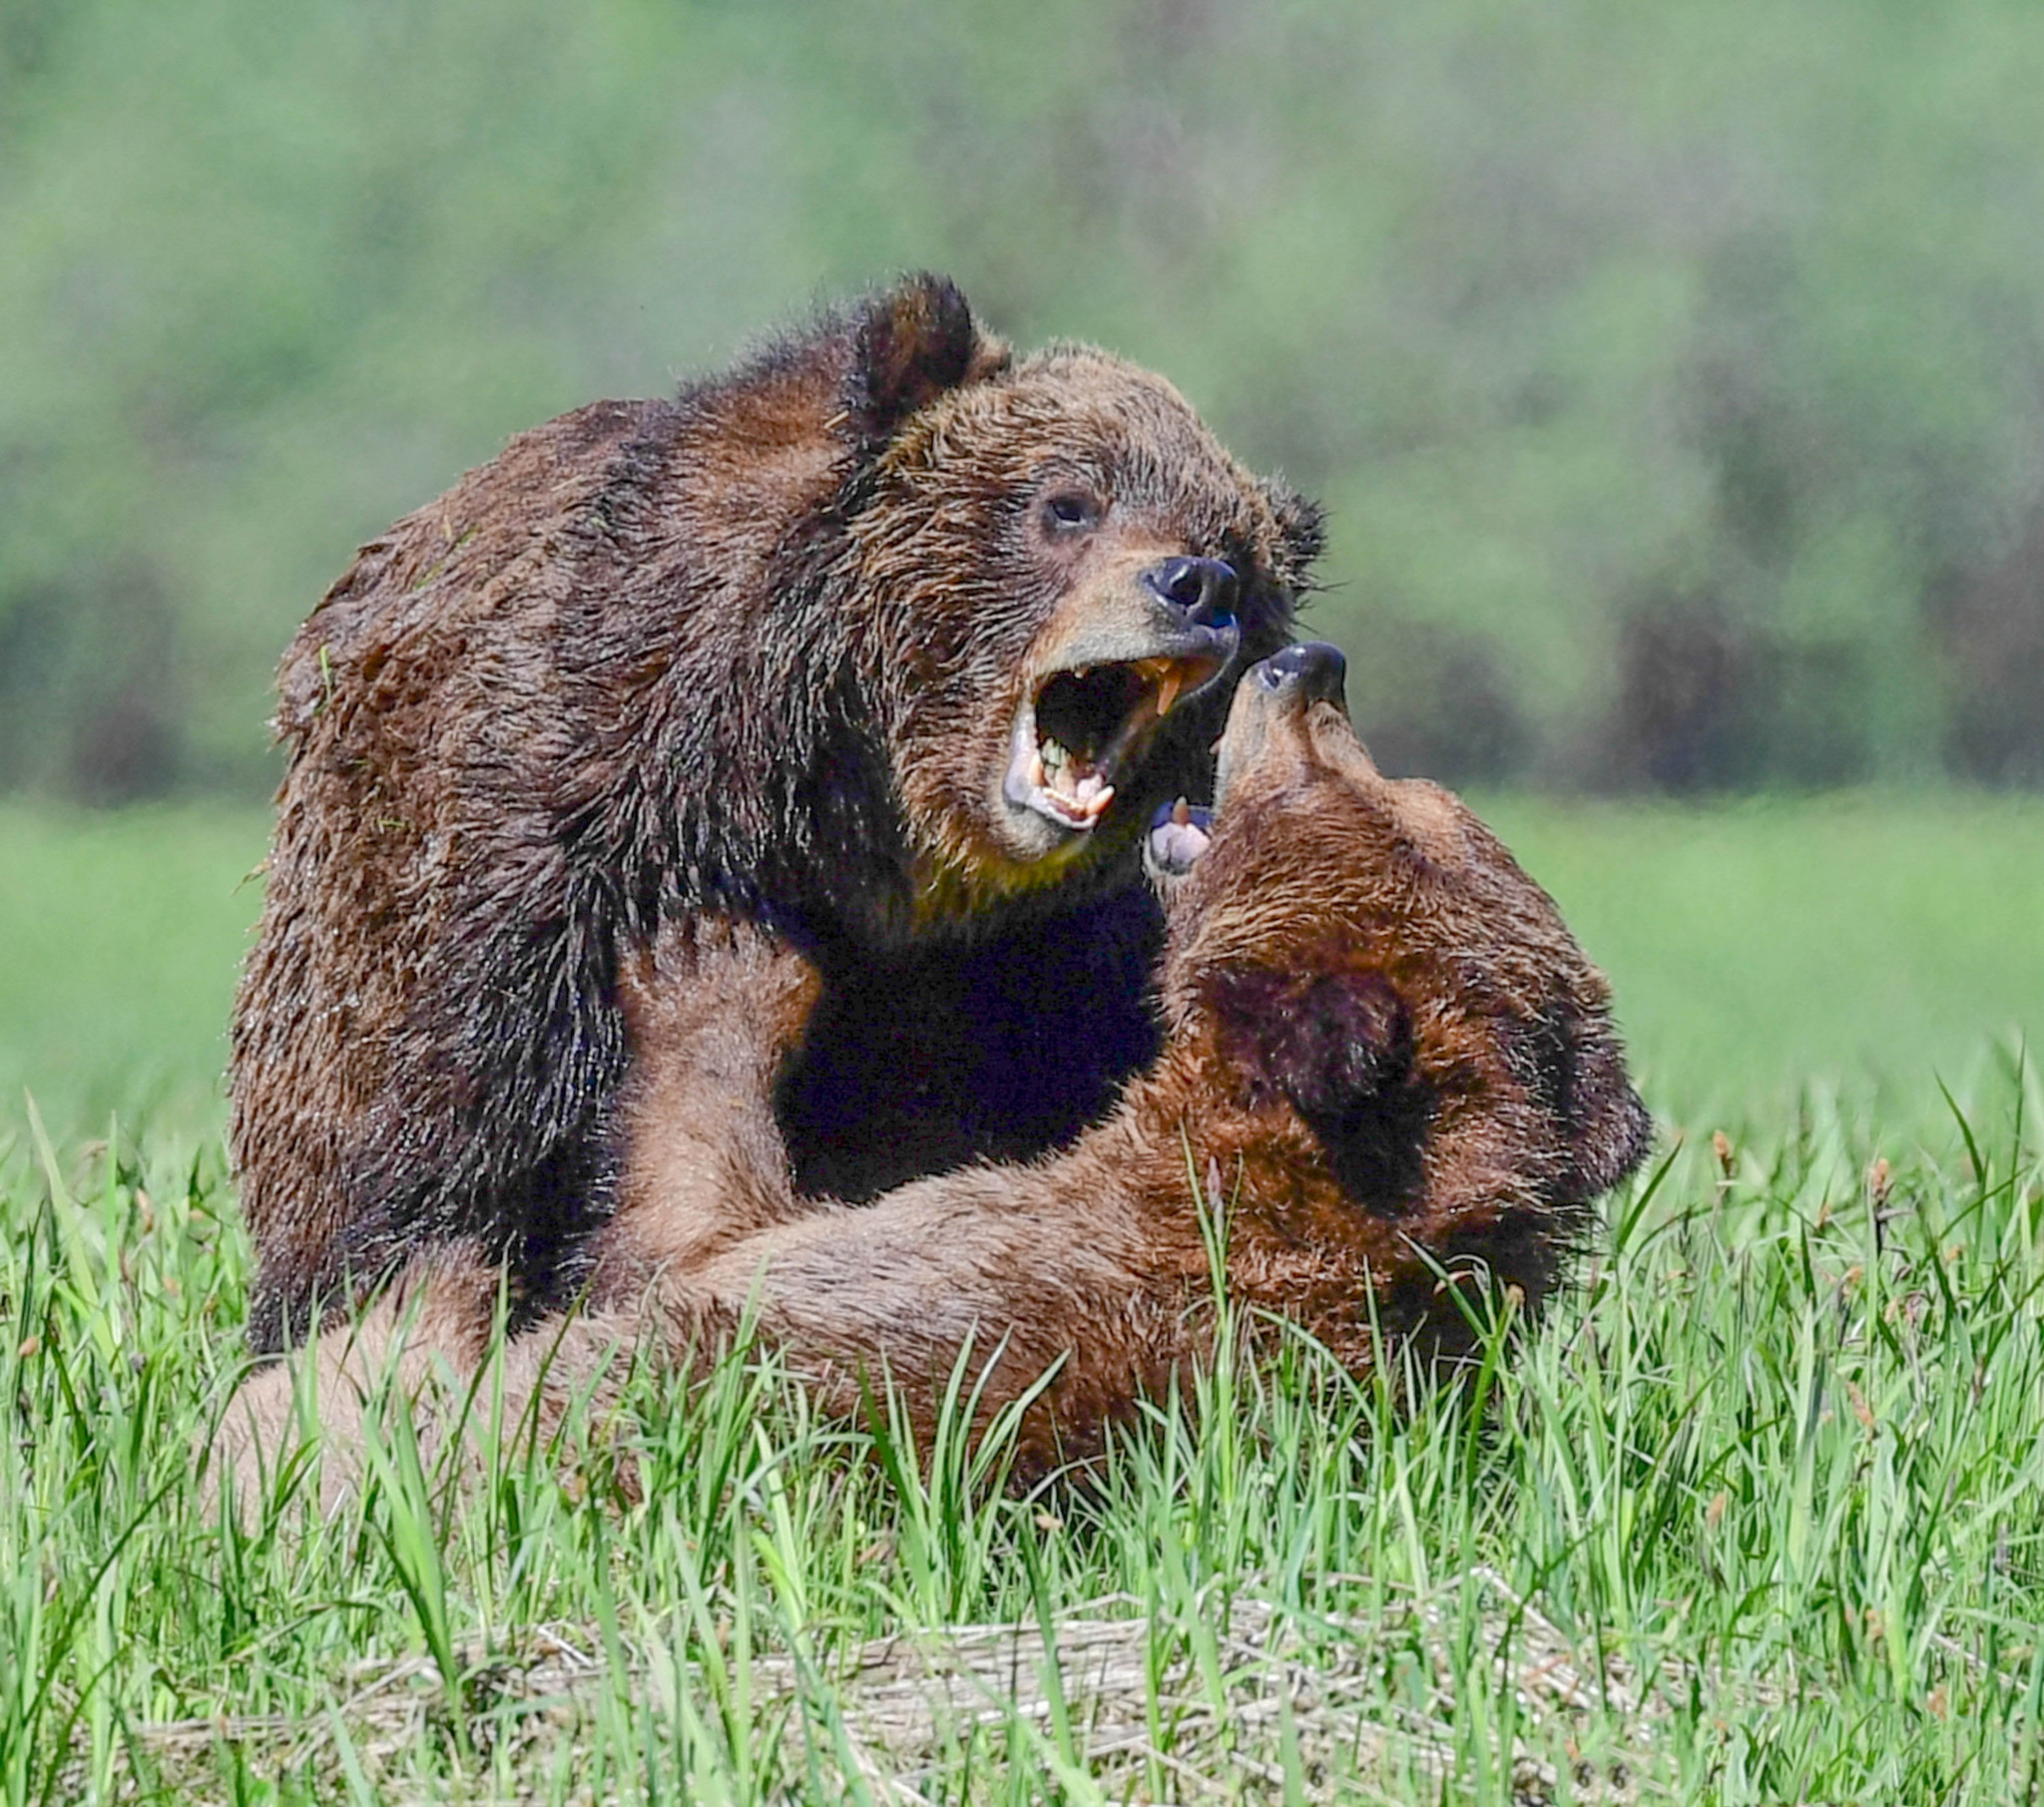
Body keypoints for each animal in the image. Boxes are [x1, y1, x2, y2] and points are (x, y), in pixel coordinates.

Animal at [209, 643, 1651, 1507]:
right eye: (1425, 787)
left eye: (1354, 792)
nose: (1308, 663)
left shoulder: (922, 1272)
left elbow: (695, 1228)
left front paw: (714, 953)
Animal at [228, 274, 1323, 1353]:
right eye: (1067, 501)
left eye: (1231, 543)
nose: (1195, 585)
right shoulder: (560, 844)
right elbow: (456, 1132)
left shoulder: (1036, 959)